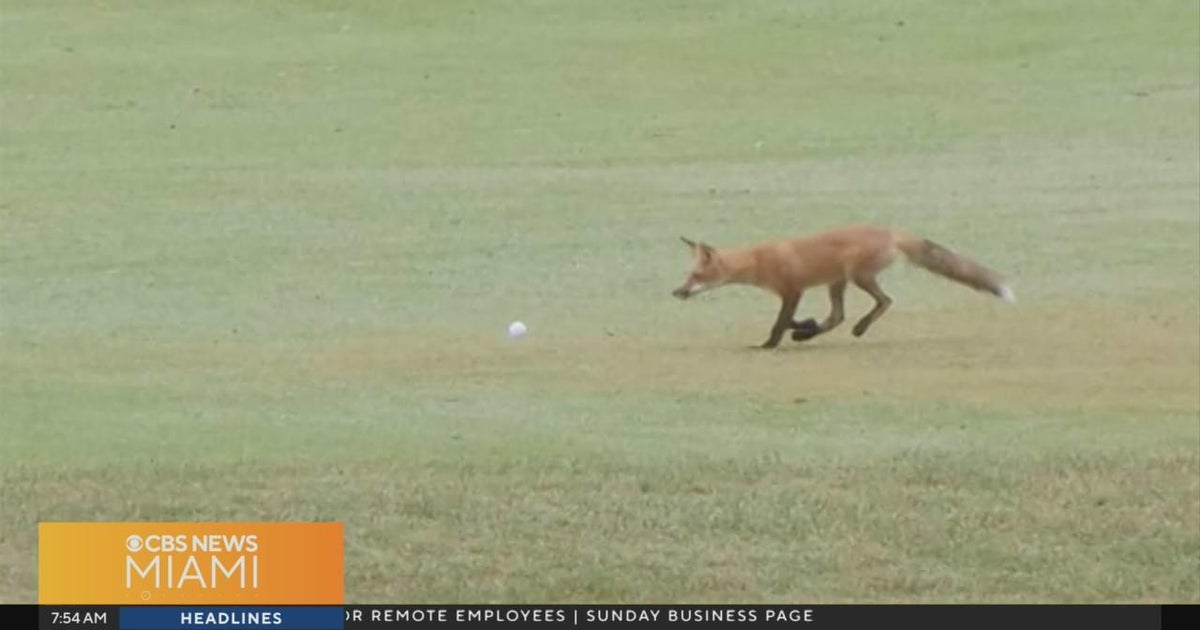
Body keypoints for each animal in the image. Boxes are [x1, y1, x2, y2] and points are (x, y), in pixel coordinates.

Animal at [672, 224, 1014, 348]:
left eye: (695, 277)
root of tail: (891, 231)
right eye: (687, 275)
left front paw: (769, 344)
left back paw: (859, 328)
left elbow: (779, 322)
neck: (758, 260)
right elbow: (791, 319)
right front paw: (803, 326)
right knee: (838, 316)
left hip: (857, 277)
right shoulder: (794, 293)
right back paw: (810, 333)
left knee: (885, 301)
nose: (676, 292)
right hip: (838, 283)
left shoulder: (792, 290)